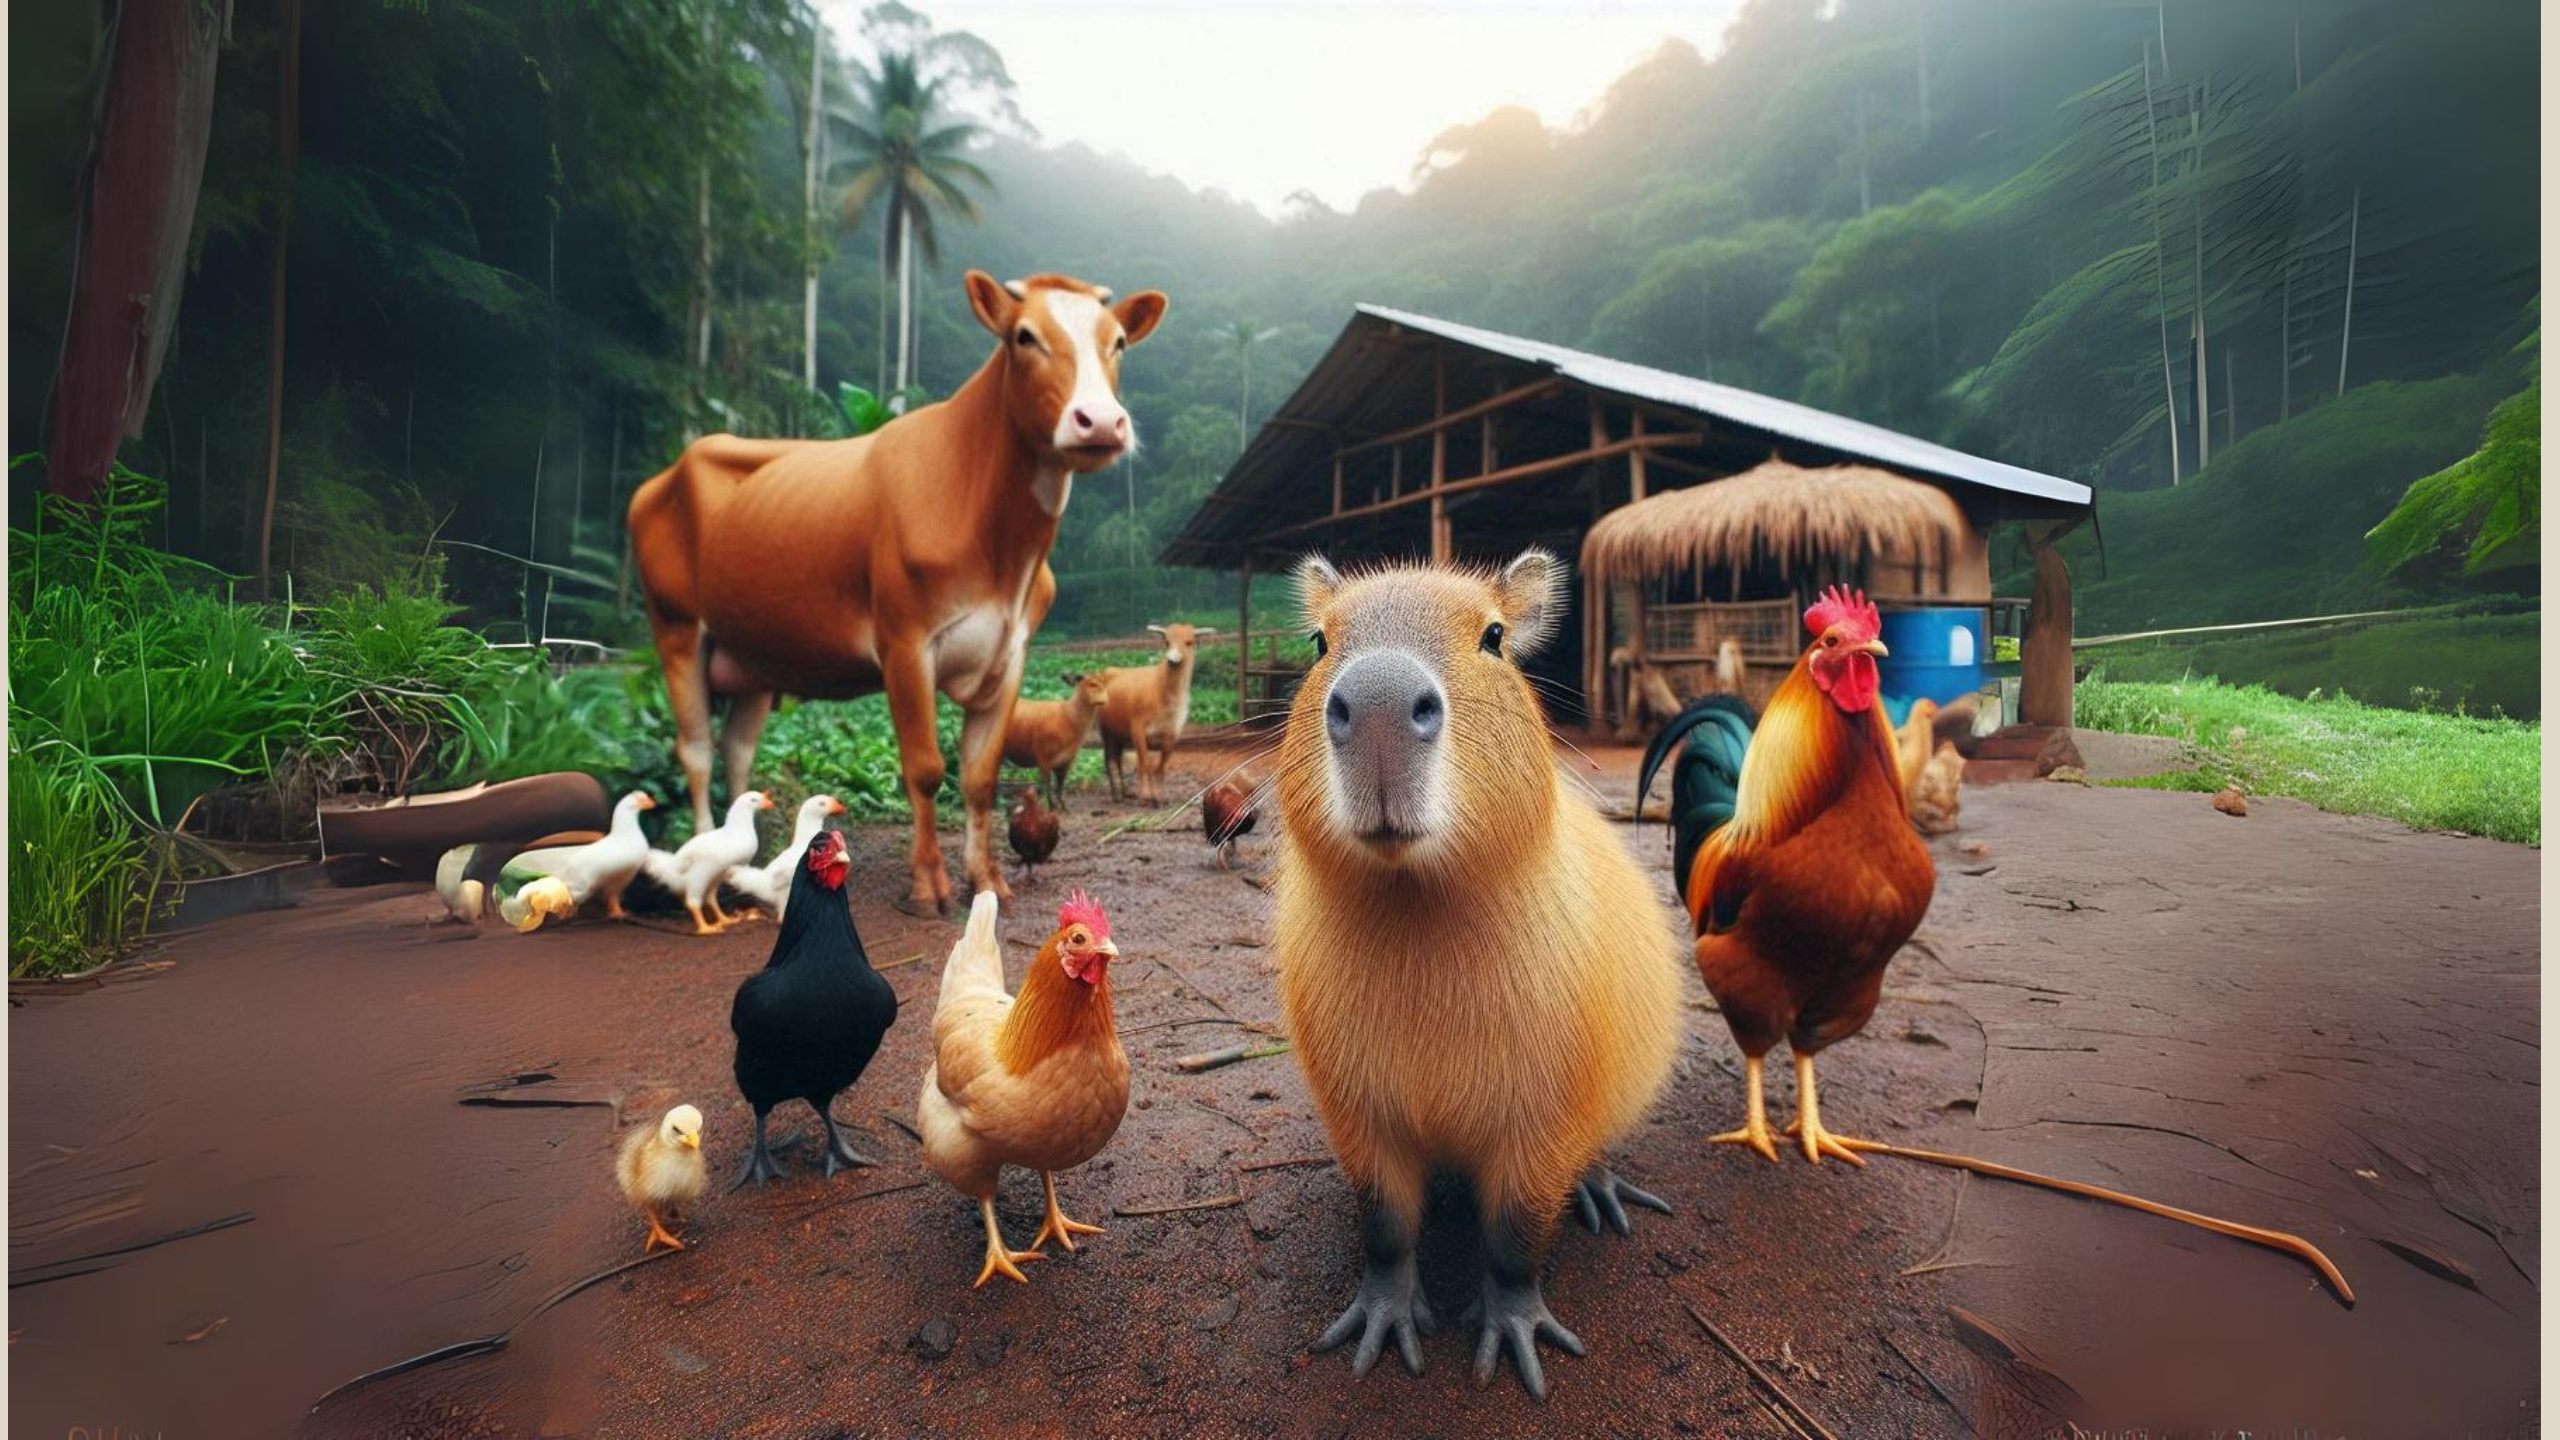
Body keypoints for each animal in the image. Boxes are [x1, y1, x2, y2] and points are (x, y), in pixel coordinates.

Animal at [627, 271, 1167, 913]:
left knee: (736, 749)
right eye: (1024, 336)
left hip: (752, 651)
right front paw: (928, 884)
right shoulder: (905, 642)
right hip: (676, 626)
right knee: (697, 752)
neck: (1002, 550)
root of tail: (664, 474)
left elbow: (979, 775)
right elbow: (926, 768)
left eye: (1119, 343)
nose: (1101, 422)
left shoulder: (1011, 651)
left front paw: (986, 878)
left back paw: (745, 866)